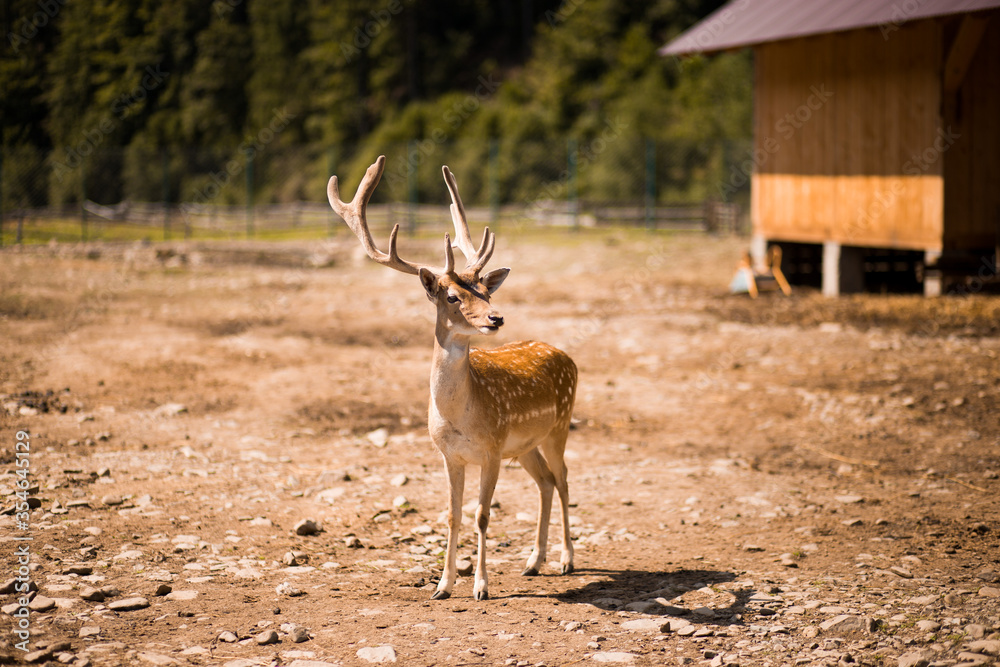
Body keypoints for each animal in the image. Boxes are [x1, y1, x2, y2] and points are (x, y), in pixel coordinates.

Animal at [327, 155, 577, 601]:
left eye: (487, 292)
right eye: (452, 296)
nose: (496, 318)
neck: (460, 416)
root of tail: (569, 358)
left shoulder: (491, 450)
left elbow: (481, 516)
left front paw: (481, 586)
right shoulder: (449, 454)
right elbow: (452, 514)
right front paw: (442, 585)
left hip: (559, 426)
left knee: (564, 480)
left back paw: (566, 560)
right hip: (525, 445)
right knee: (546, 482)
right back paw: (534, 562)